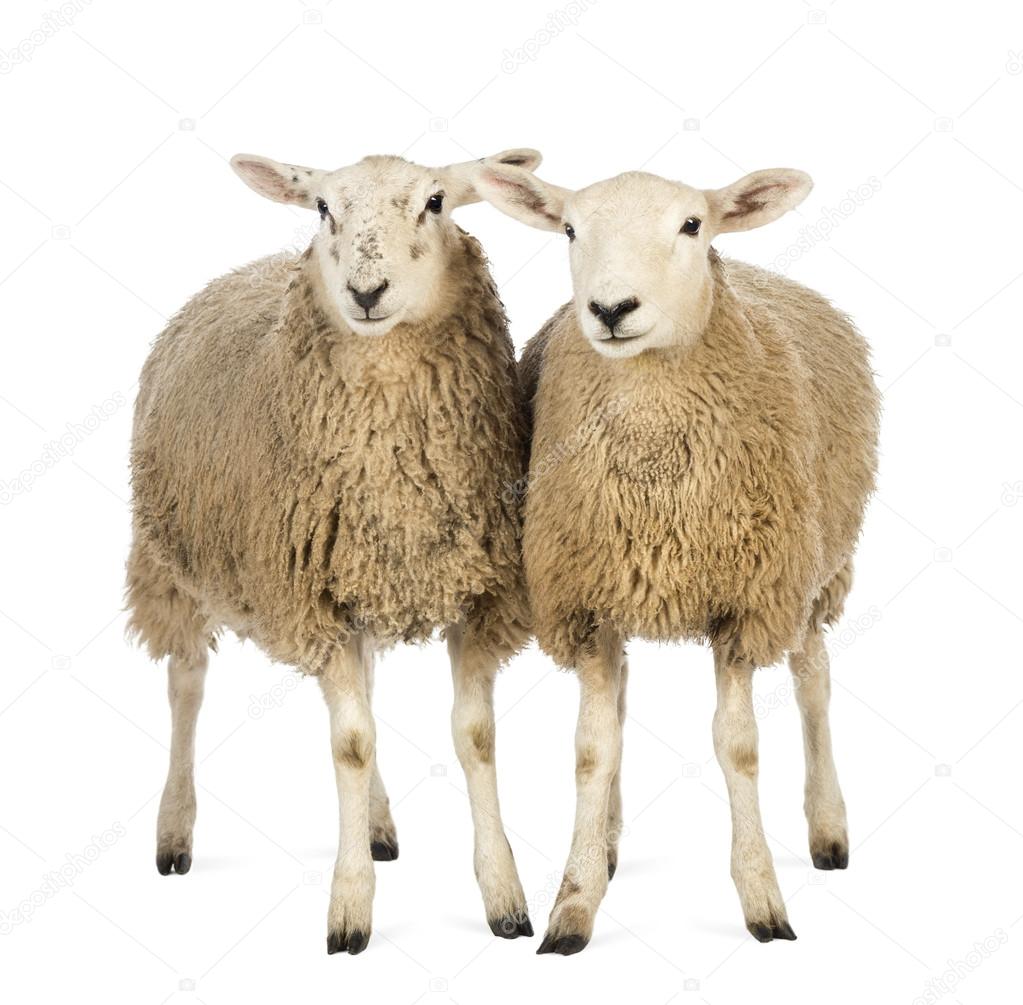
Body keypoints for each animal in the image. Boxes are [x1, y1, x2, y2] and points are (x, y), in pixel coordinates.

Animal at [126, 147, 544, 954]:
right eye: (323, 208)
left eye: (436, 202)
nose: (366, 291)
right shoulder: (312, 602)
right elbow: (350, 743)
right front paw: (350, 908)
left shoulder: (475, 591)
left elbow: (474, 736)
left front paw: (504, 897)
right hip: (168, 557)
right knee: (186, 684)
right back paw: (173, 831)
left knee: (369, 686)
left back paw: (378, 826)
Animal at [476, 162, 880, 953]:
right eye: (569, 228)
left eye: (692, 225)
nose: (609, 308)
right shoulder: (588, 600)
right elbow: (592, 748)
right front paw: (575, 902)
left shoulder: (746, 600)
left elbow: (738, 745)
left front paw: (762, 900)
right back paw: (606, 841)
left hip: (814, 568)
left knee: (814, 680)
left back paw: (828, 830)